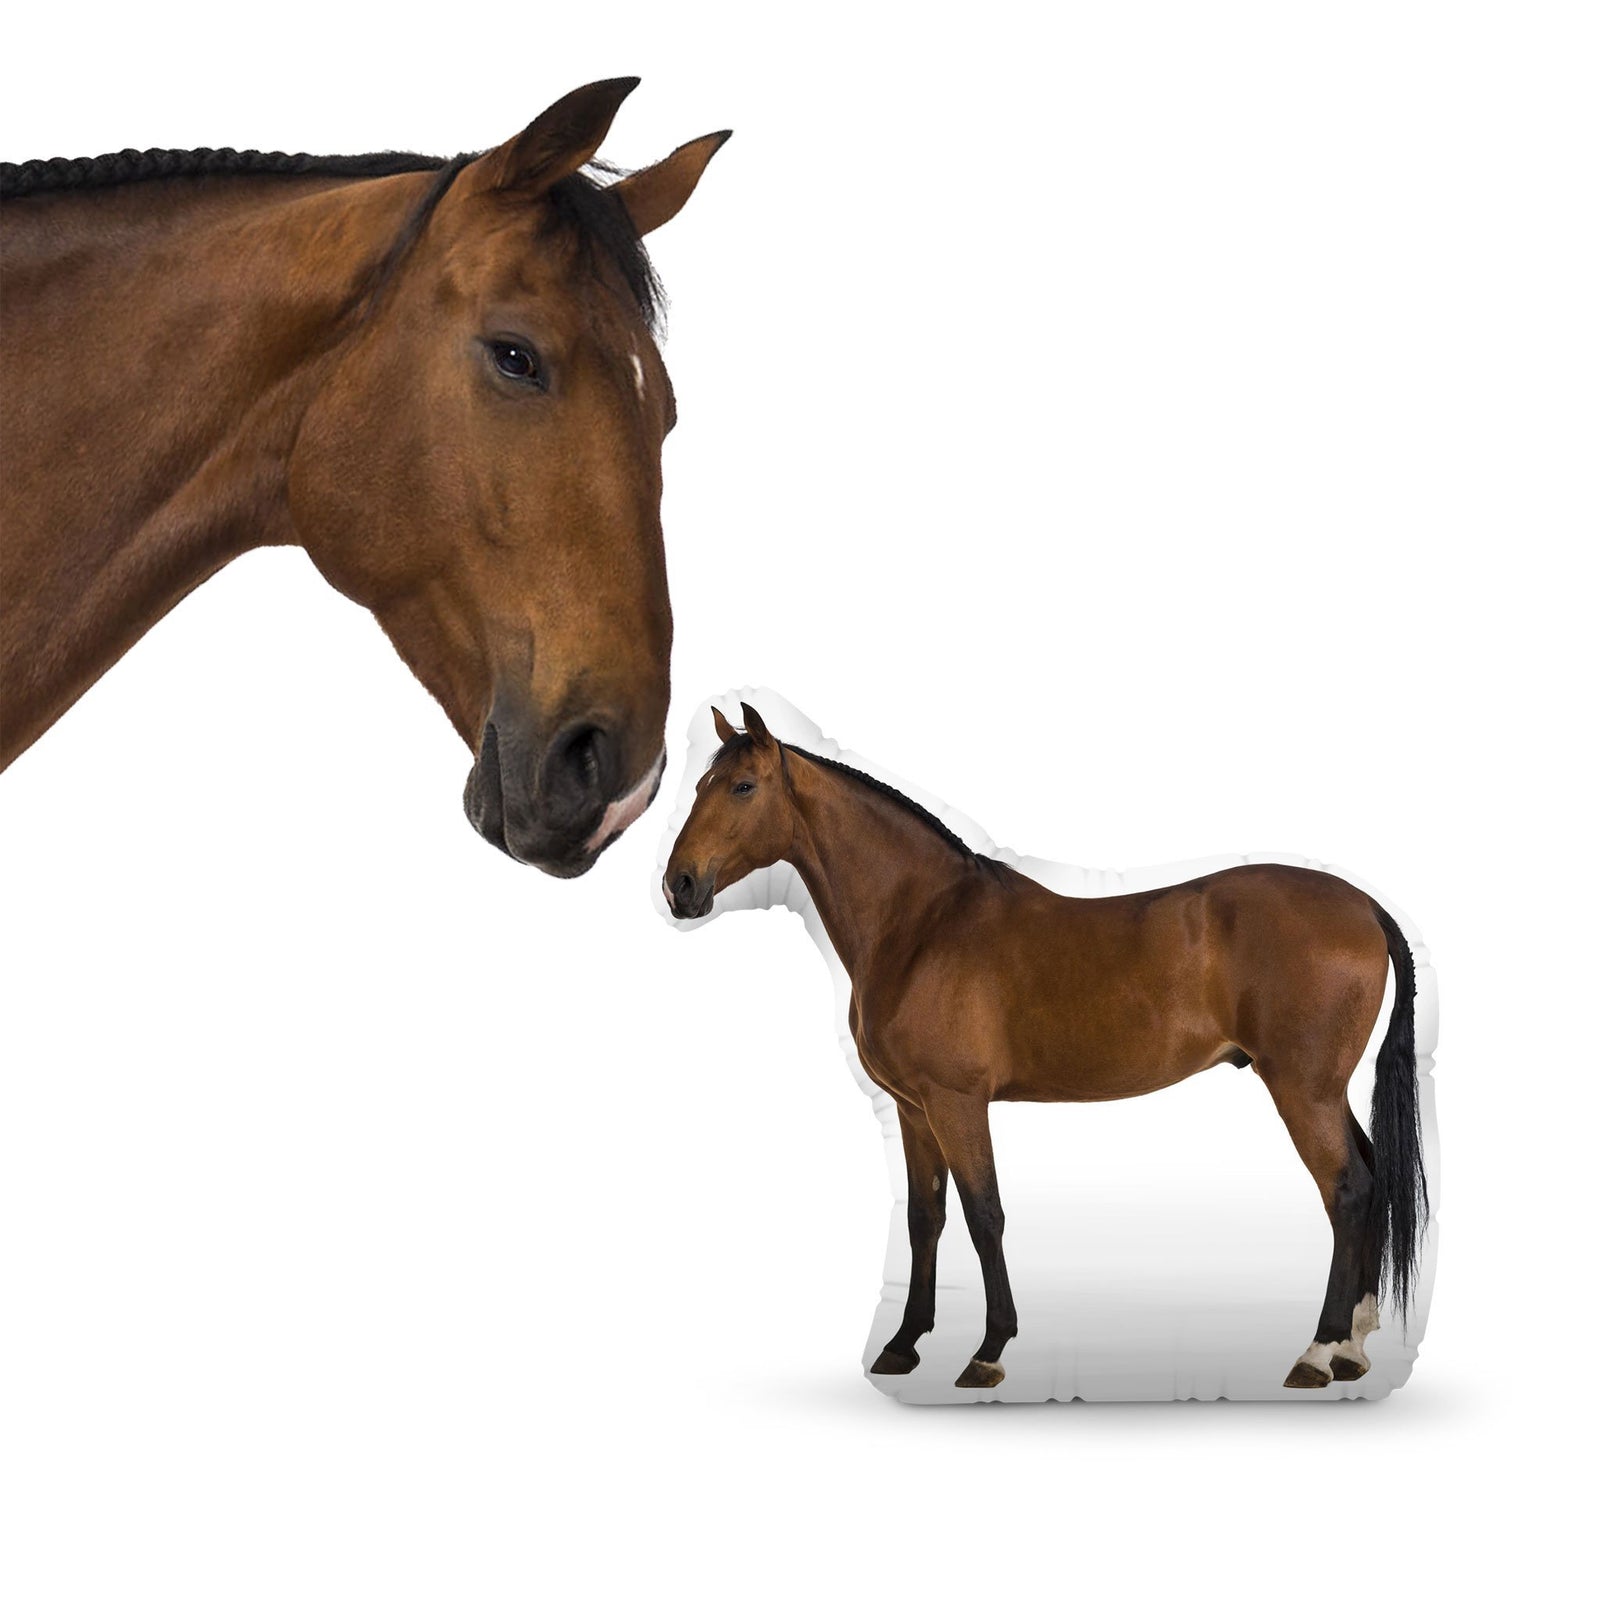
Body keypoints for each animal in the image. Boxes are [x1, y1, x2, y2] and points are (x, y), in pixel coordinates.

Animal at [662, 703, 1429, 1392]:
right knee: (1368, 1177)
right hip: (1324, 1089)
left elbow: (984, 1214)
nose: (680, 885)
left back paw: (1318, 1353)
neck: (922, 923)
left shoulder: (956, 1102)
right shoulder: (913, 1109)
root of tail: (1364, 907)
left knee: (1348, 1191)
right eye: (699, 783)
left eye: (742, 786)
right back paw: (1353, 1346)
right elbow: (925, 1219)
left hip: (1302, 1090)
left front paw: (988, 1351)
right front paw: (904, 1345)